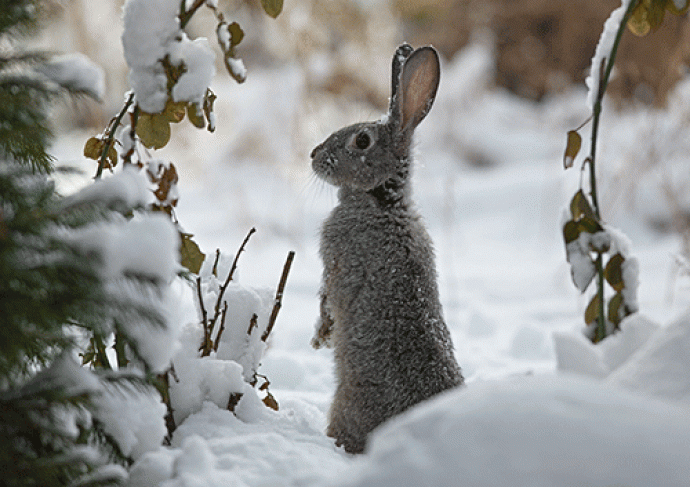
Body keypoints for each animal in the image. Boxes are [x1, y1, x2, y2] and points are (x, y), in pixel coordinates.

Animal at [310, 44, 464, 454]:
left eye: (361, 141)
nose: (313, 155)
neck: (381, 201)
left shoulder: (337, 263)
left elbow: (327, 300)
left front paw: (320, 337)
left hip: (347, 402)